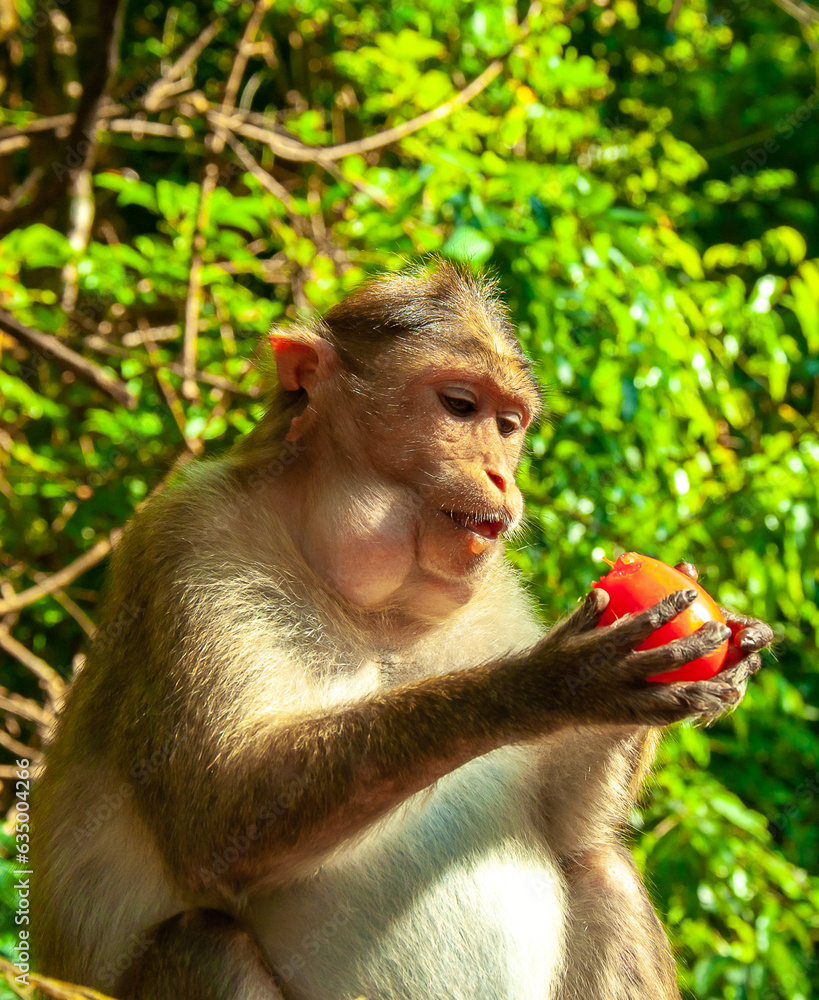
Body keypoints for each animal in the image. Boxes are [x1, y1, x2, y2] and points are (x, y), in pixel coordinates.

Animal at [31, 263, 773, 1000]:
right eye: (459, 406)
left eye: (509, 424)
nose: (502, 474)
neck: (369, 602)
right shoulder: (187, 538)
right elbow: (213, 817)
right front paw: (551, 684)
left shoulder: (497, 591)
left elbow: (567, 826)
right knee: (205, 940)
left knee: (601, 867)